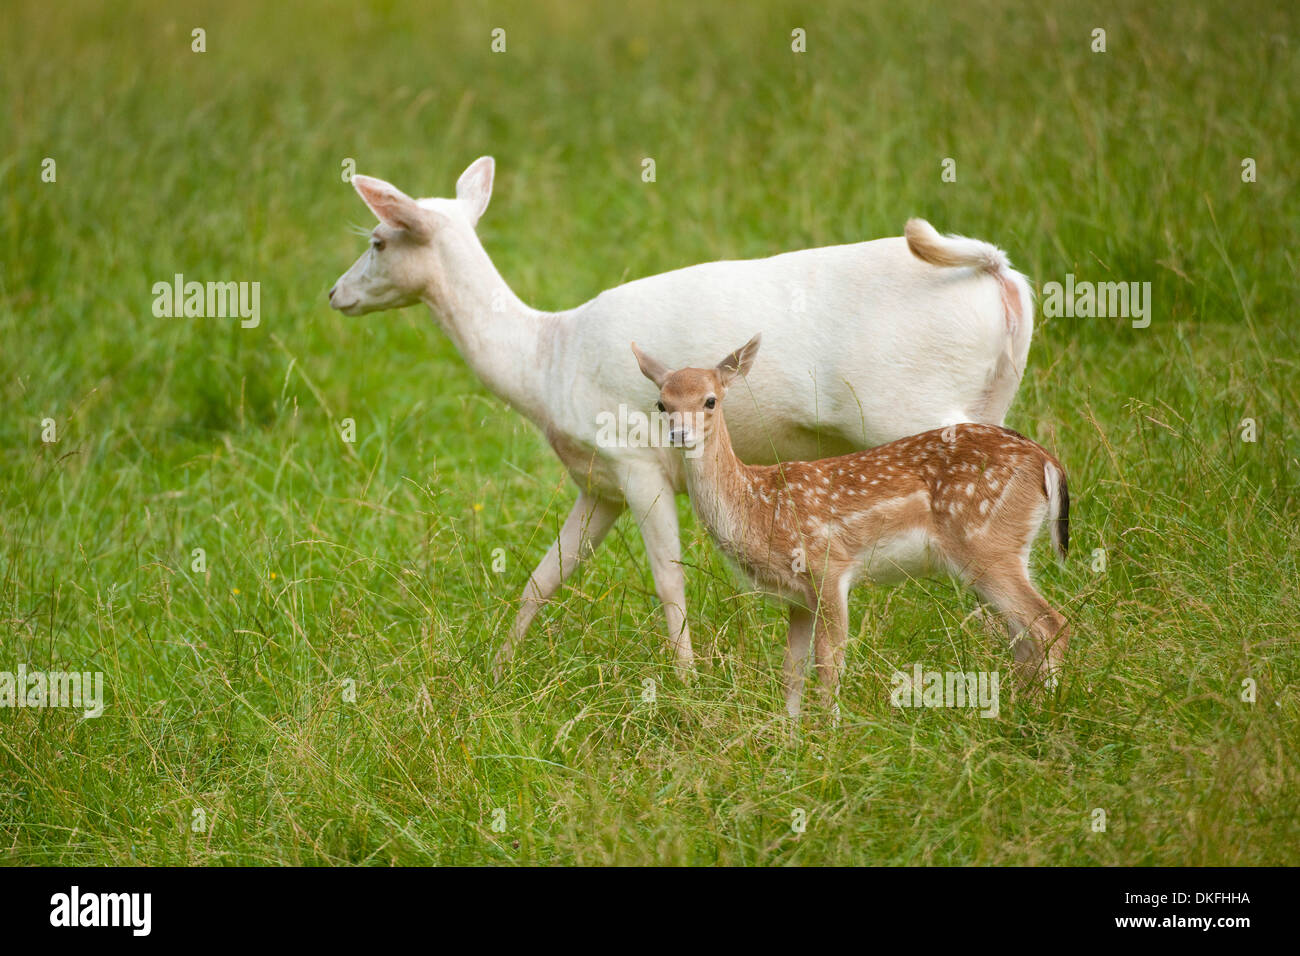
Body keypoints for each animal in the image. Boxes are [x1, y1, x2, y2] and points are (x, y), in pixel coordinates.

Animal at [329, 156, 1036, 679]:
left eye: (377, 239)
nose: (334, 293)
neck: (544, 361)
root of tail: (1003, 279)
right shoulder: (599, 485)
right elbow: (543, 577)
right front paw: (497, 672)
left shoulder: (637, 460)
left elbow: (669, 580)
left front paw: (687, 682)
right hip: (989, 397)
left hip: (918, 406)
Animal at [631, 334, 1070, 717]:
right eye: (661, 404)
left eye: (710, 400)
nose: (679, 433)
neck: (757, 506)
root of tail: (1045, 459)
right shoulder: (797, 597)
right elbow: (791, 670)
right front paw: (788, 738)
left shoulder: (827, 567)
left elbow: (829, 664)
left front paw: (829, 735)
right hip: (1001, 549)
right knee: (1024, 637)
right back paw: (1015, 708)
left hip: (986, 542)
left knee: (1050, 624)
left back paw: (1043, 712)